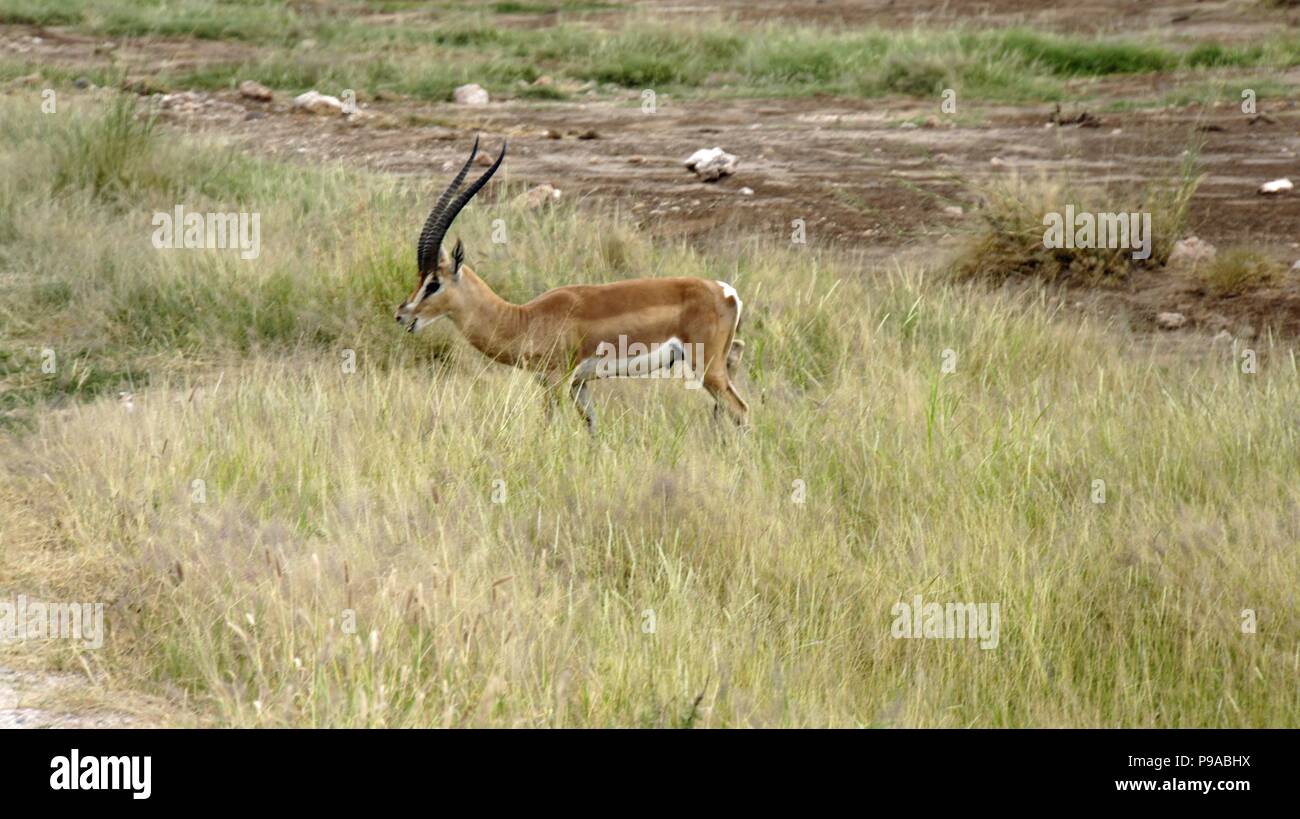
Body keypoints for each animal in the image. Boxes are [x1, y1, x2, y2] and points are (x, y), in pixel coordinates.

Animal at [394, 138, 749, 432]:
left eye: (434, 283)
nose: (403, 314)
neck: (524, 319)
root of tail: (726, 291)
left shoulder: (555, 381)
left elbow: (547, 427)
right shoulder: (579, 384)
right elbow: (592, 427)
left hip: (706, 367)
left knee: (741, 410)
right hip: (717, 363)